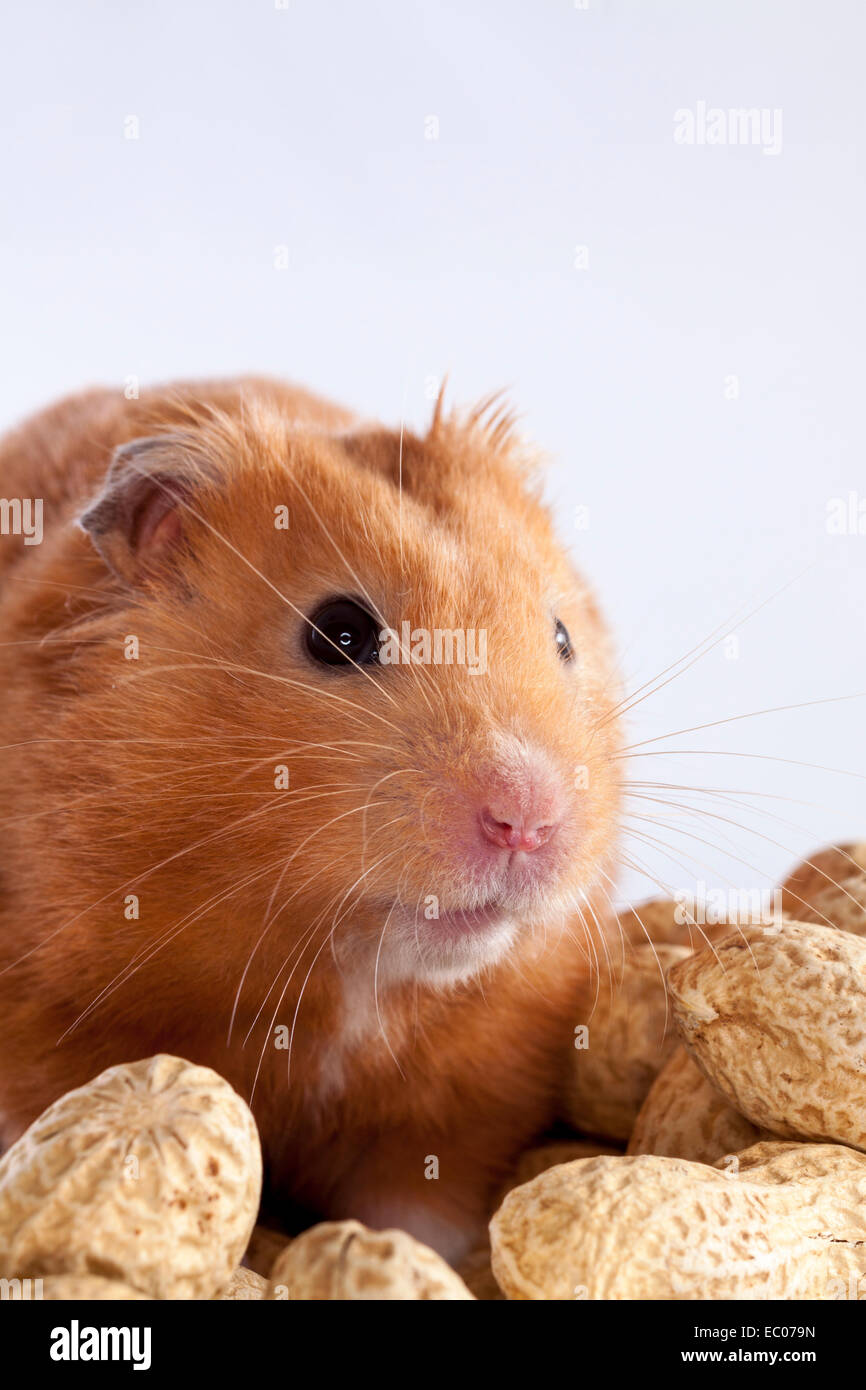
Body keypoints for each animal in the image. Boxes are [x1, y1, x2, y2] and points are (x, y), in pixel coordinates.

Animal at [0, 378, 621, 1261]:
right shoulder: (42, 1029)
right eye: (341, 633)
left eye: (562, 635)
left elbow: (419, 1215)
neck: (345, 969)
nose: (528, 822)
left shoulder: (457, 1108)